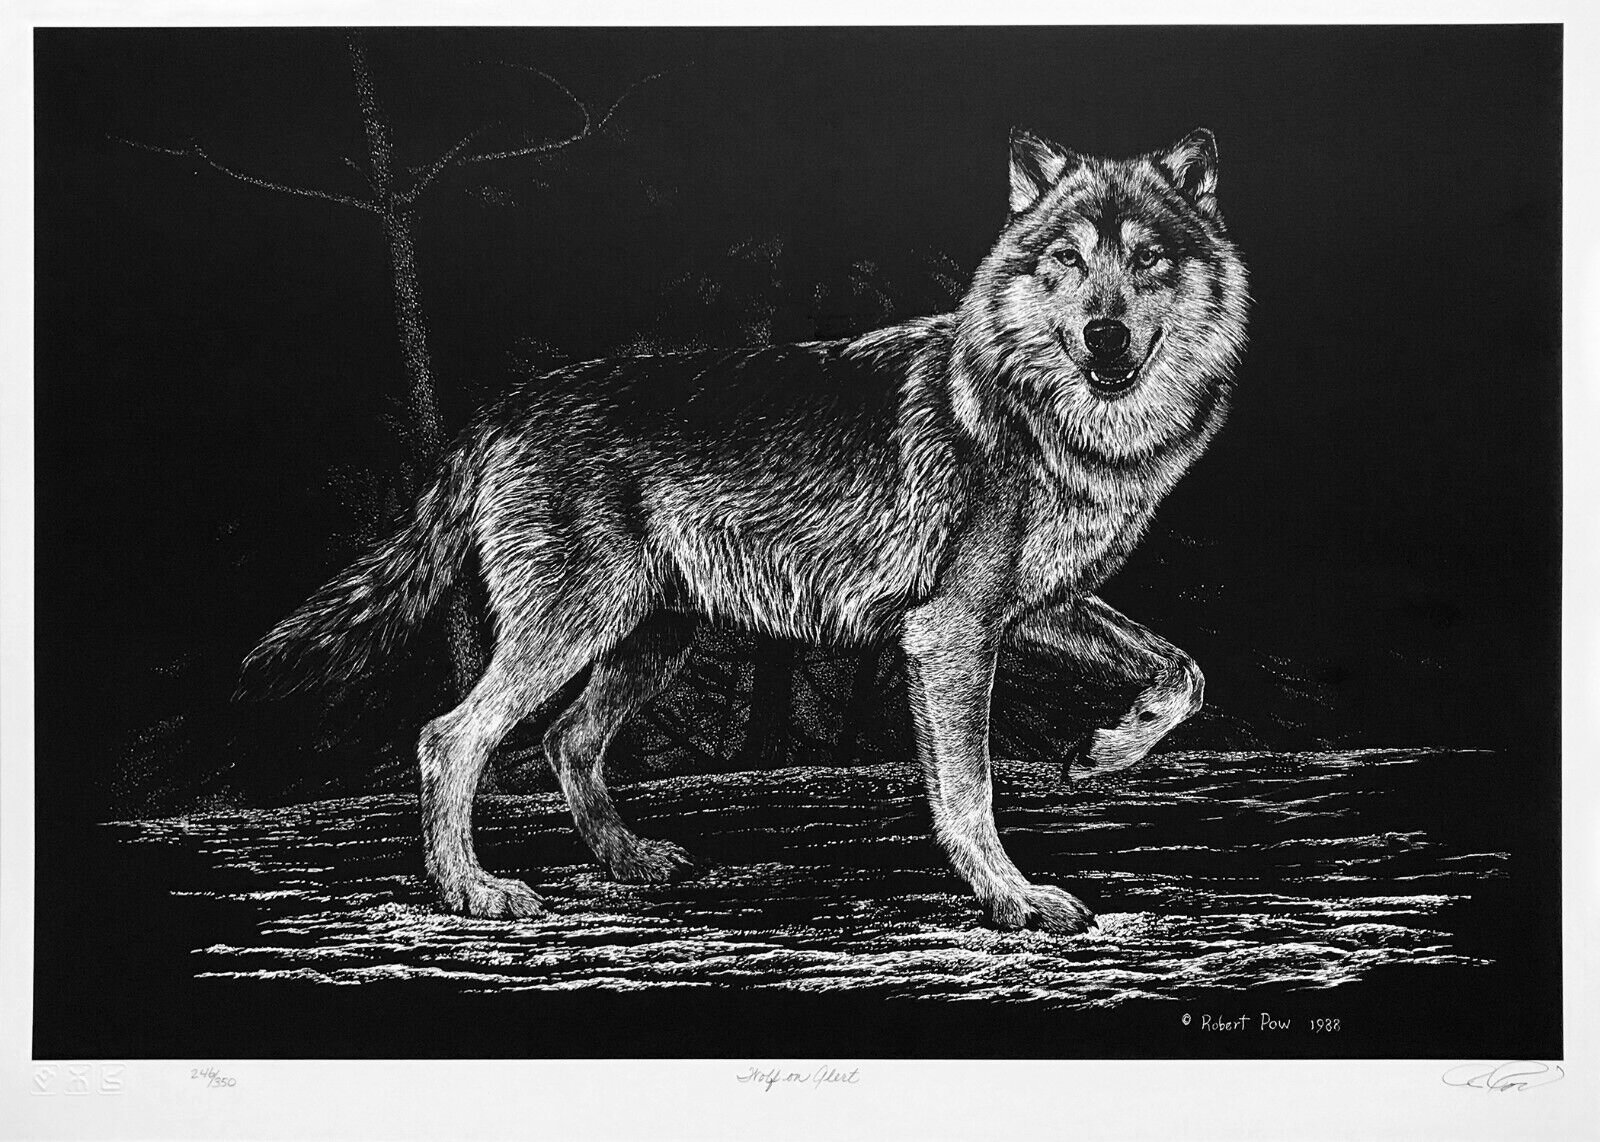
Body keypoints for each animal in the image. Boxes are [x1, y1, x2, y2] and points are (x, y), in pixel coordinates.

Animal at [240, 127, 1249, 933]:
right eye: (1068, 260)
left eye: (1149, 260)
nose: (1104, 336)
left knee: (567, 742)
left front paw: (1104, 751)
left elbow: (1185, 674)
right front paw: (1015, 899)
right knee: (450, 739)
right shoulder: (951, 633)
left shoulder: (1037, 609)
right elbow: (970, 792)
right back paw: (473, 891)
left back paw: (630, 862)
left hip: (650, 641)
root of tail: (507, 406)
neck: (1053, 423)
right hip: (574, 631)